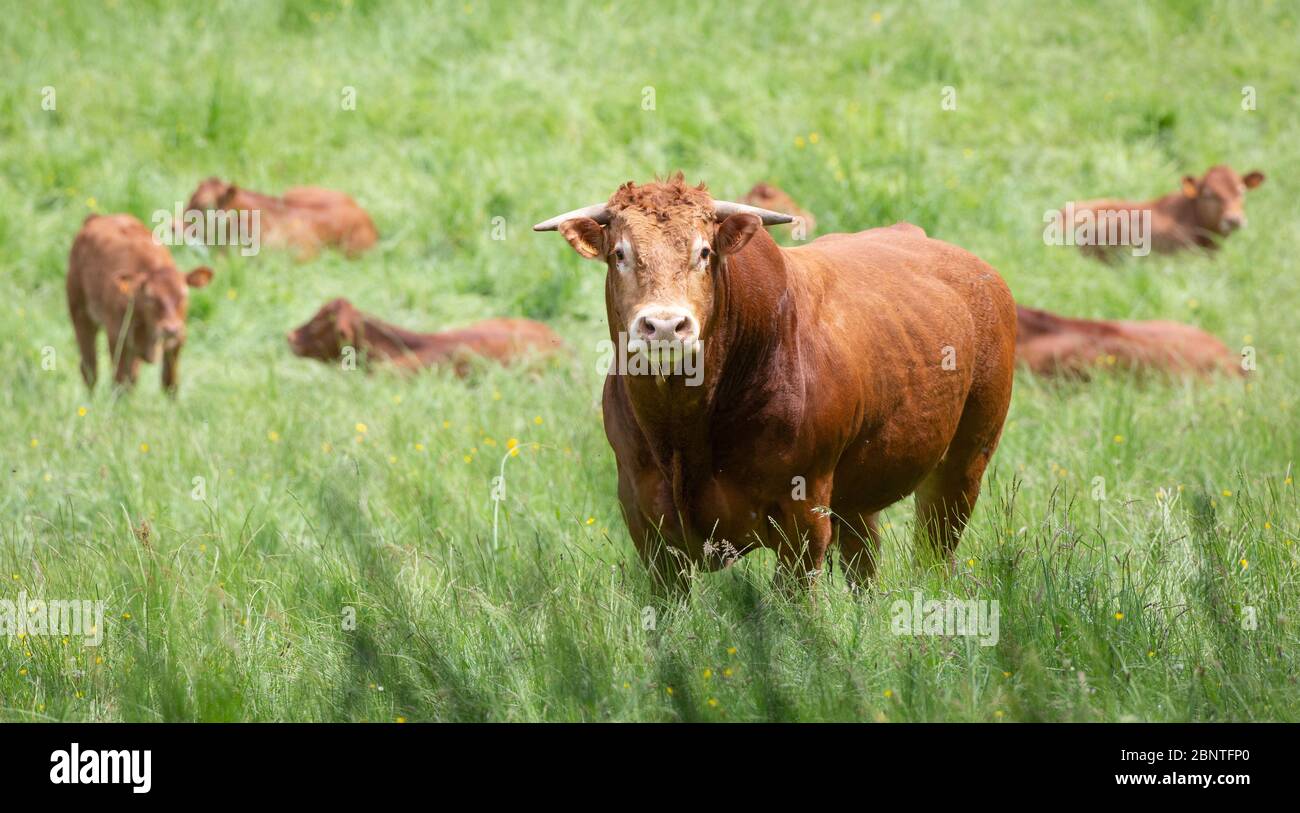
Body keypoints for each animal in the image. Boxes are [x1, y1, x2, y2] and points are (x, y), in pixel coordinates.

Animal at [67, 214, 214, 394]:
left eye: (183, 295)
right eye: (150, 297)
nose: (170, 329)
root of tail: (96, 218)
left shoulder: (178, 340)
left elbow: (170, 384)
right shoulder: (118, 339)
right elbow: (119, 384)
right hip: (80, 315)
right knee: (90, 369)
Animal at [535, 174, 1017, 593]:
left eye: (704, 252)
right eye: (619, 253)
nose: (666, 326)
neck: (685, 425)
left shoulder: (803, 517)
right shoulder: (646, 520)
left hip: (963, 464)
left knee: (933, 555)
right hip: (859, 500)